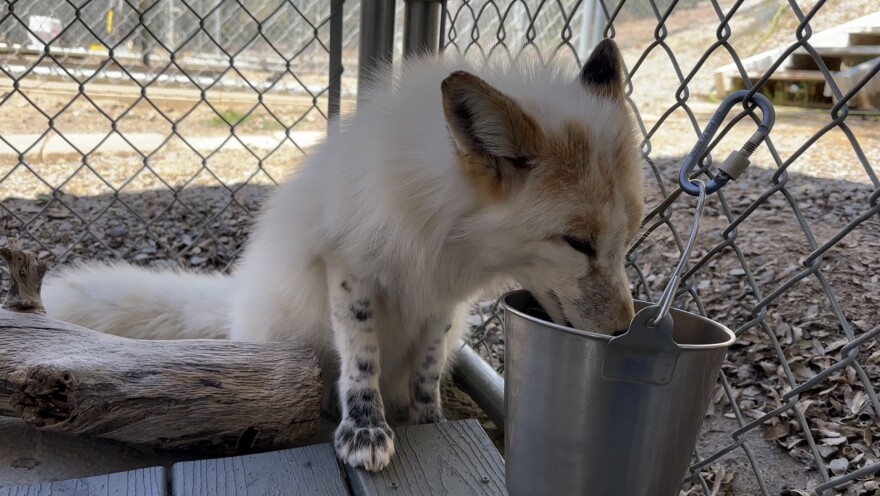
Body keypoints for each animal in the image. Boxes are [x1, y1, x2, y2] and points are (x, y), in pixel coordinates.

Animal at [40, 39, 645, 472]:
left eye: (631, 233)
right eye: (578, 242)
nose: (623, 331)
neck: (443, 231)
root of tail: (236, 307)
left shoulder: (443, 301)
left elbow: (426, 371)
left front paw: (430, 423)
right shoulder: (351, 270)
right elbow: (362, 362)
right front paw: (365, 432)